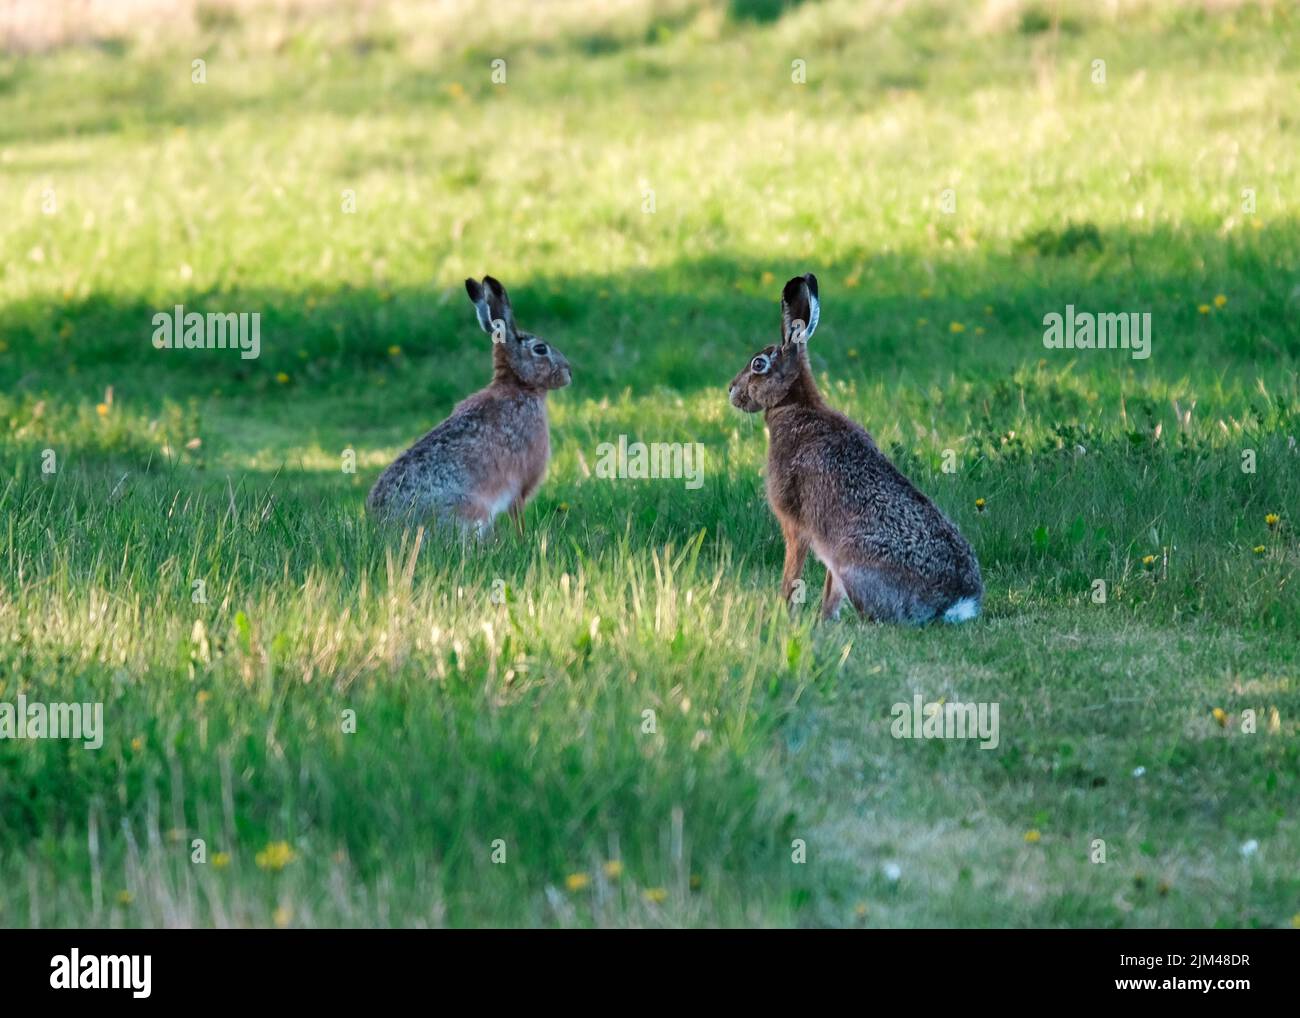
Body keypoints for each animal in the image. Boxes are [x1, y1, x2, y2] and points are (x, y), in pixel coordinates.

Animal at [367, 276, 571, 536]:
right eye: (540, 349)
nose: (568, 372)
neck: (518, 384)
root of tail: (383, 528)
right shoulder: (520, 483)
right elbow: (517, 514)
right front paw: (523, 538)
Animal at [728, 273, 982, 624]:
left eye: (758, 364)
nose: (731, 391)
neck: (793, 404)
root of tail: (955, 602)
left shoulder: (795, 525)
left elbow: (792, 573)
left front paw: (784, 613)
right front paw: (822, 619)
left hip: (852, 564)